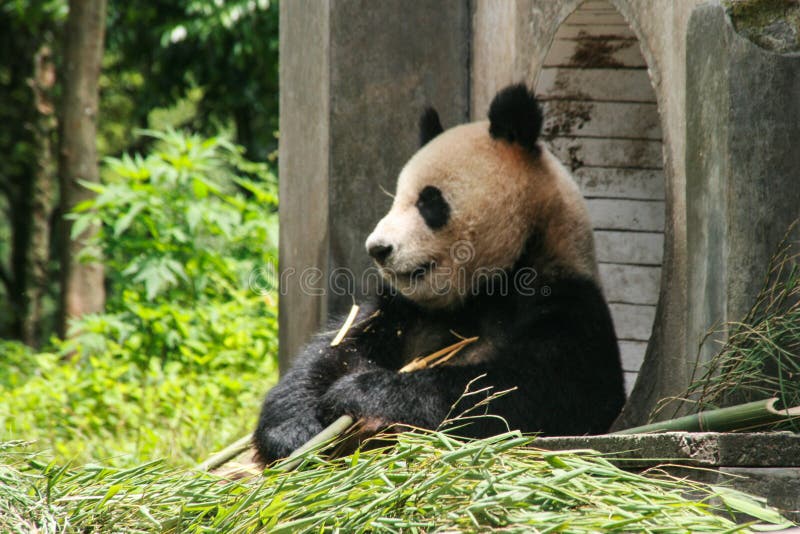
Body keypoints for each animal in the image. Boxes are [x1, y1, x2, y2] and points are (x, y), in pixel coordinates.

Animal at [254, 83, 625, 464]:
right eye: (397, 199)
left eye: (429, 201)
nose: (378, 248)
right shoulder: (401, 310)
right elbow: (335, 347)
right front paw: (294, 430)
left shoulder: (564, 302)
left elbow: (527, 390)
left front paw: (363, 393)